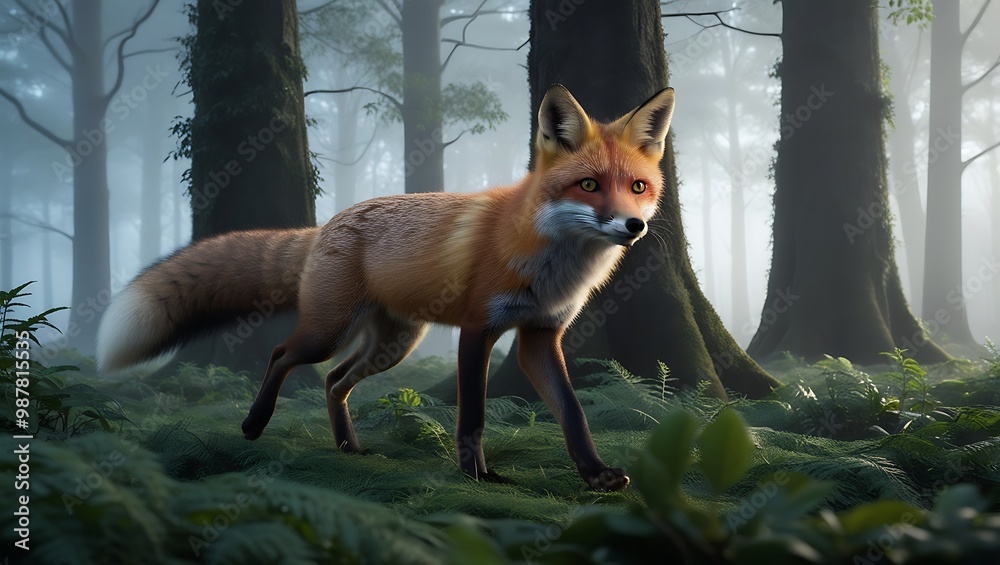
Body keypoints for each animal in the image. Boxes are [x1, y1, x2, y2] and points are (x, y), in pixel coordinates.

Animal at [97, 84, 675, 491]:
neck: (552, 262)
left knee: (335, 381)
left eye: (638, 187)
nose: (634, 226)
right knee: (283, 354)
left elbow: (573, 412)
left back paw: (347, 447)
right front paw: (477, 475)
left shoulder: (539, 337)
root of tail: (327, 225)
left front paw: (596, 475)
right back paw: (255, 423)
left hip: (394, 345)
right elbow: (473, 414)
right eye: (589, 185)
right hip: (330, 331)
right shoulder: (477, 330)